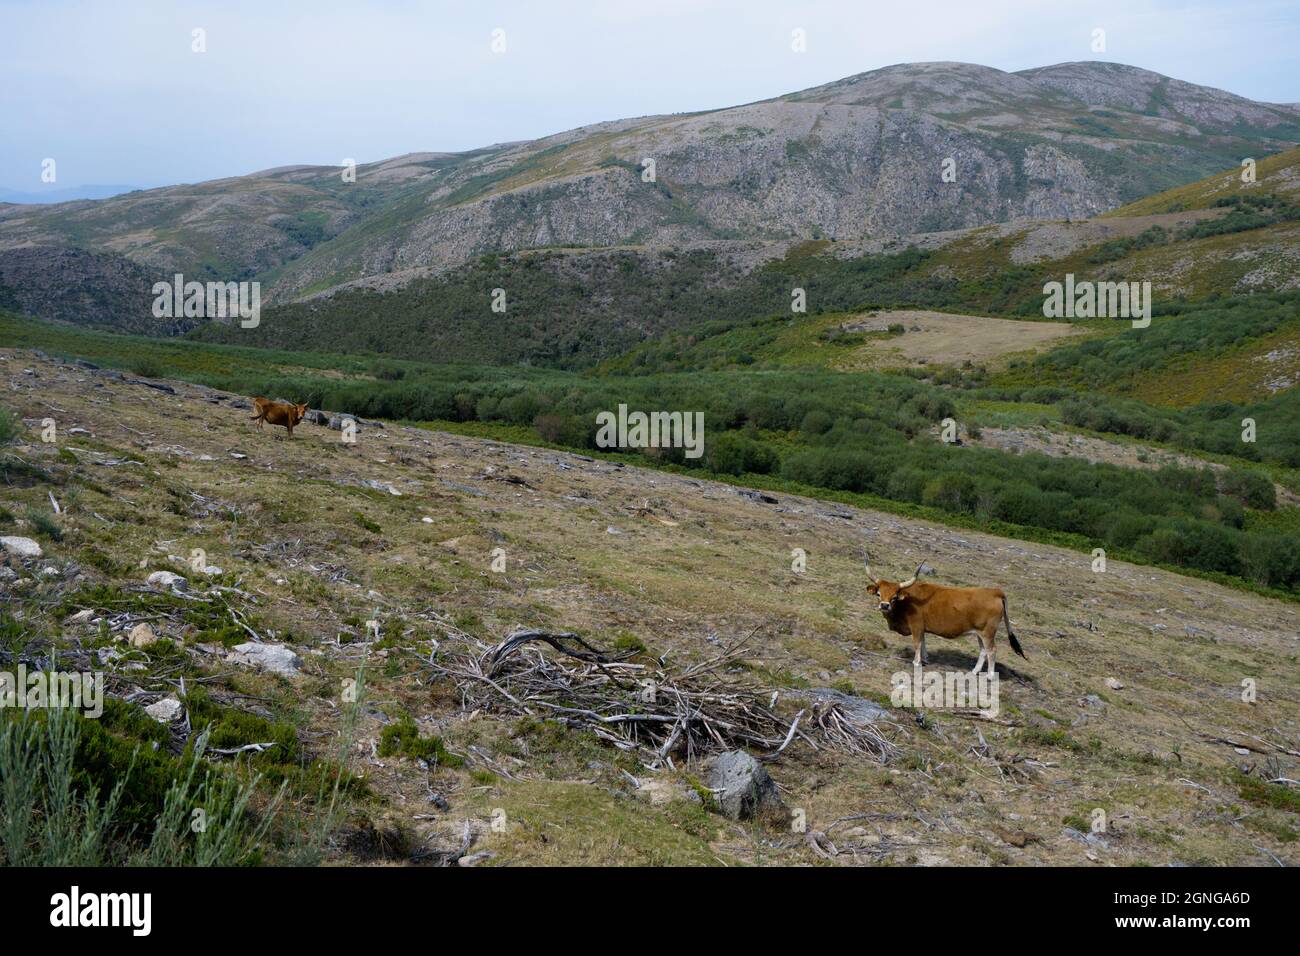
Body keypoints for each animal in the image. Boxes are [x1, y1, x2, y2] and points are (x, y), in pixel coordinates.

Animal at [865, 559, 1025, 674]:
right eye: (878, 594)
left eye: (894, 597)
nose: (884, 605)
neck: (907, 600)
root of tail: (995, 592)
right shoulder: (922, 628)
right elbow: (923, 642)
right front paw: (925, 659)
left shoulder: (916, 626)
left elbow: (917, 643)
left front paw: (916, 662)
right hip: (980, 633)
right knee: (983, 651)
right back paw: (974, 671)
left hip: (988, 633)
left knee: (992, 651)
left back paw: (990, 676)